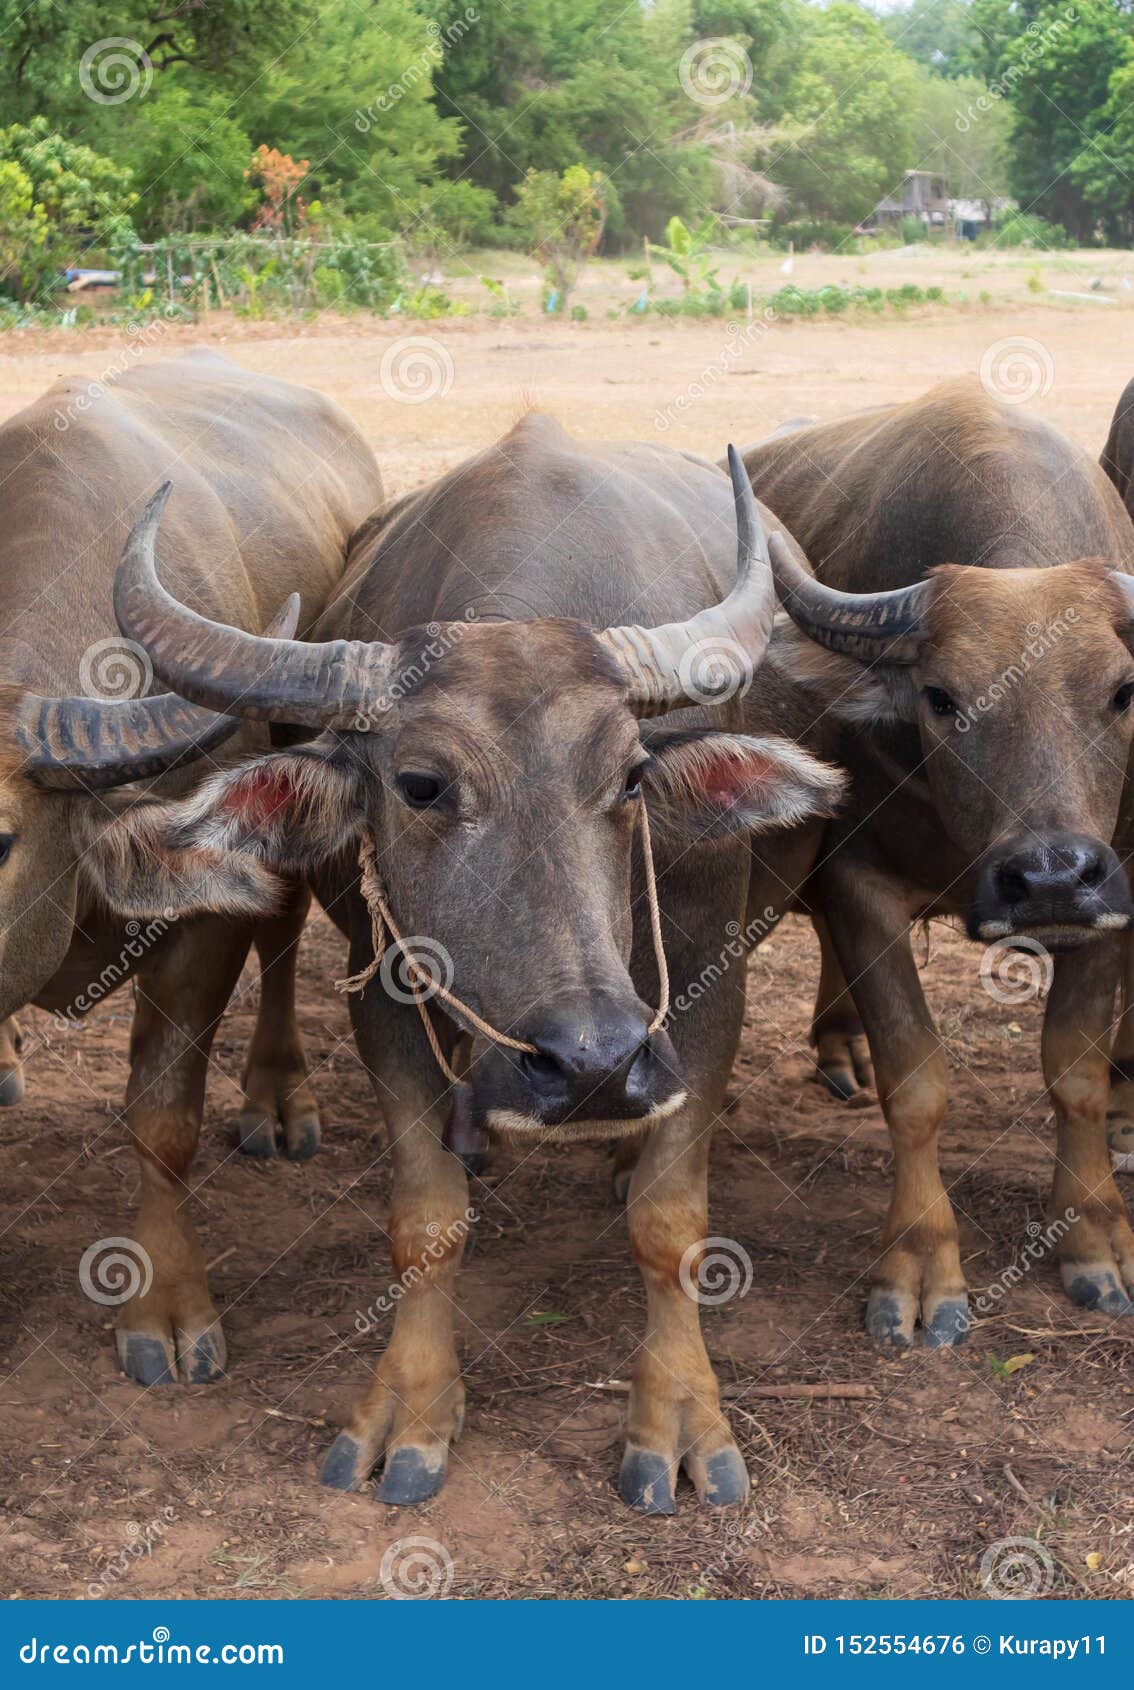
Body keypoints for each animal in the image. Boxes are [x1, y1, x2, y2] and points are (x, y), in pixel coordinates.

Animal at [0, 349, 382, 1384]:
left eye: (2, 838)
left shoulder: (203, 918)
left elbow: (163, 1119)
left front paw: (168, 1312)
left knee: (284, 938)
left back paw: (278, 1099)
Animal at [105, 414, 845, 1514]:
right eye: (420, 783)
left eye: (632, 776)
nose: (590, 1066)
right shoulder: (383, 995)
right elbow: (426, 1222)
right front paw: (408, 1414)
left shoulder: (706, 992)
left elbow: (670, 1220)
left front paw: (677, 1421)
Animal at [739, 377, 1134, 1349]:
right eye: (941, 698)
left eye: (1122, 690)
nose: (1049, 877)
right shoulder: (860, 882)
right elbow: (916, 1082)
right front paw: (919, 1267)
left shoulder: (1116, 886)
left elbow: (1074, 1070)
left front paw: (1096, 1242)